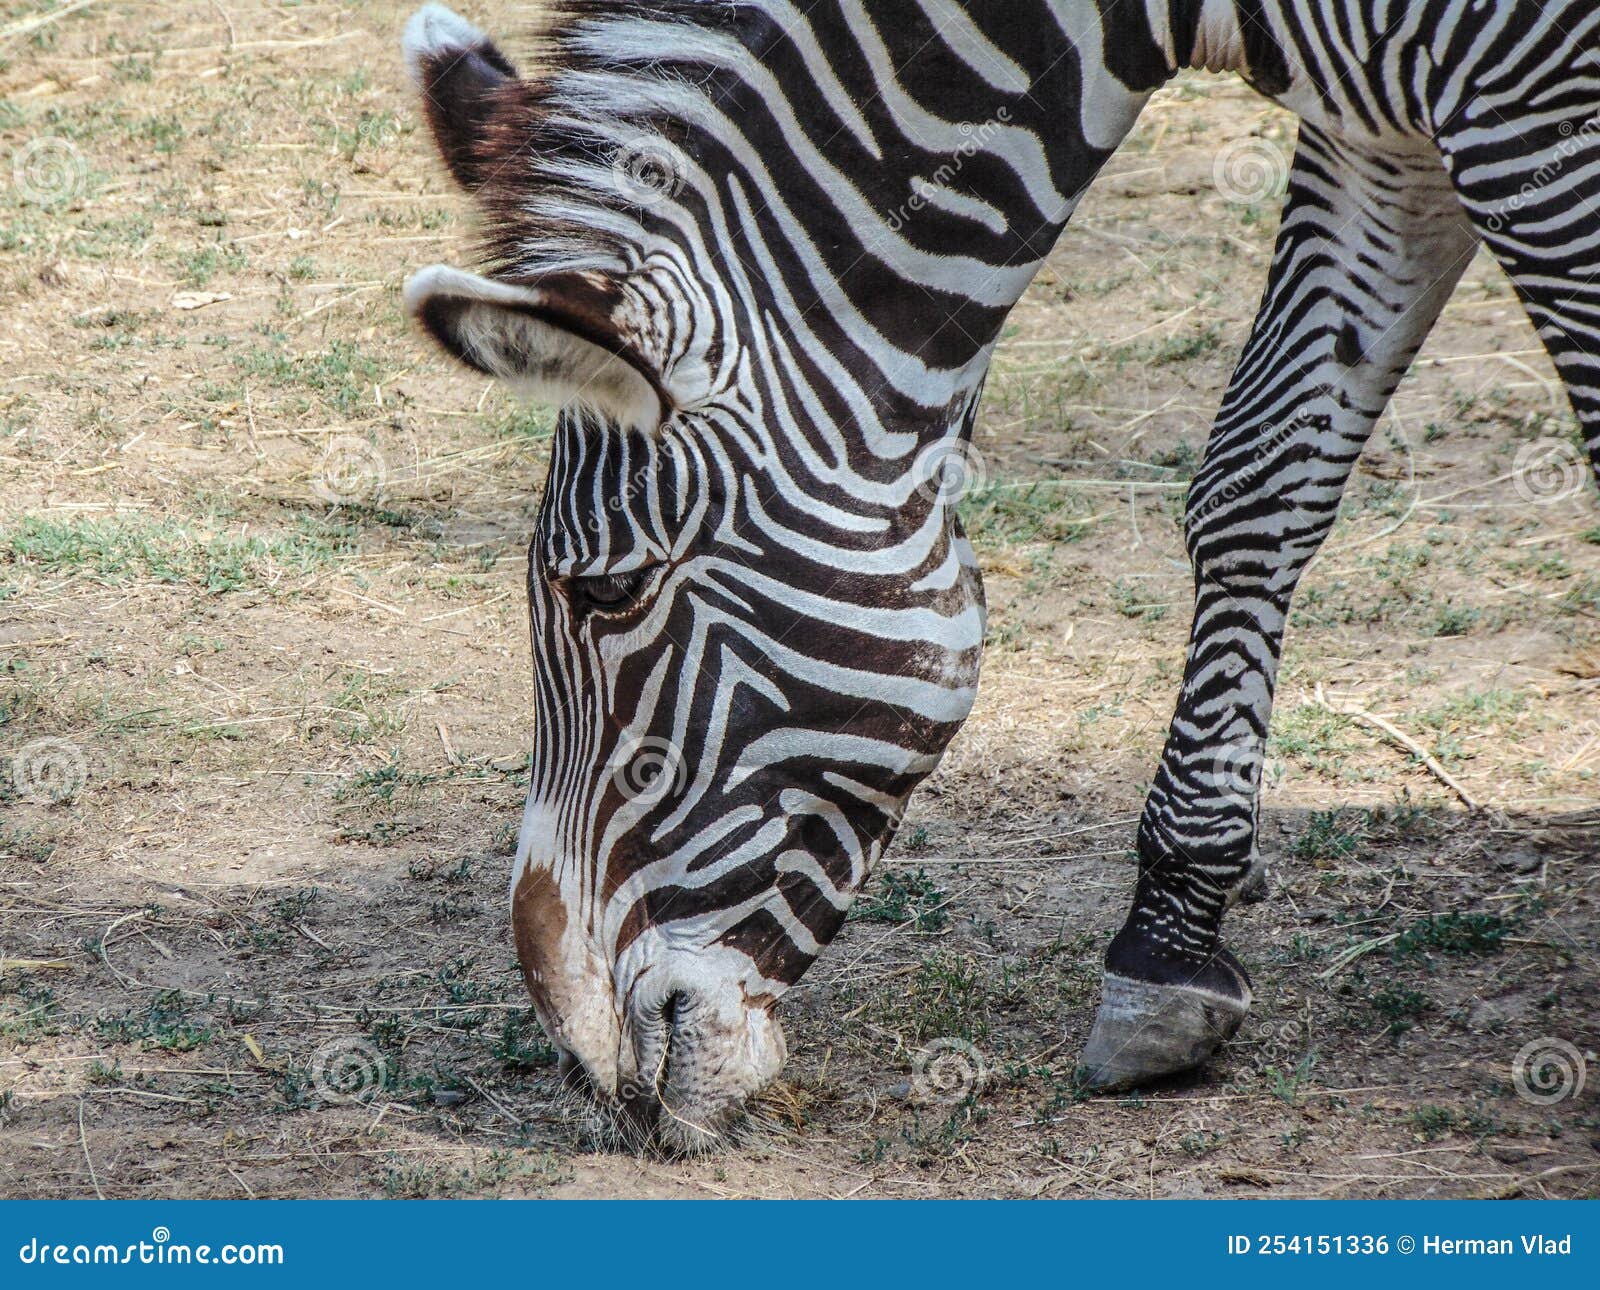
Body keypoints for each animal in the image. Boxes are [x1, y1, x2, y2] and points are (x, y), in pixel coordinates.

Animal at [400, 0, 1600, 1150]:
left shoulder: (1529, 101)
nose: (589, 1071)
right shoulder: (1383, 130)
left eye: (606, 593)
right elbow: (1257, 478)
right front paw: (1167, 943)